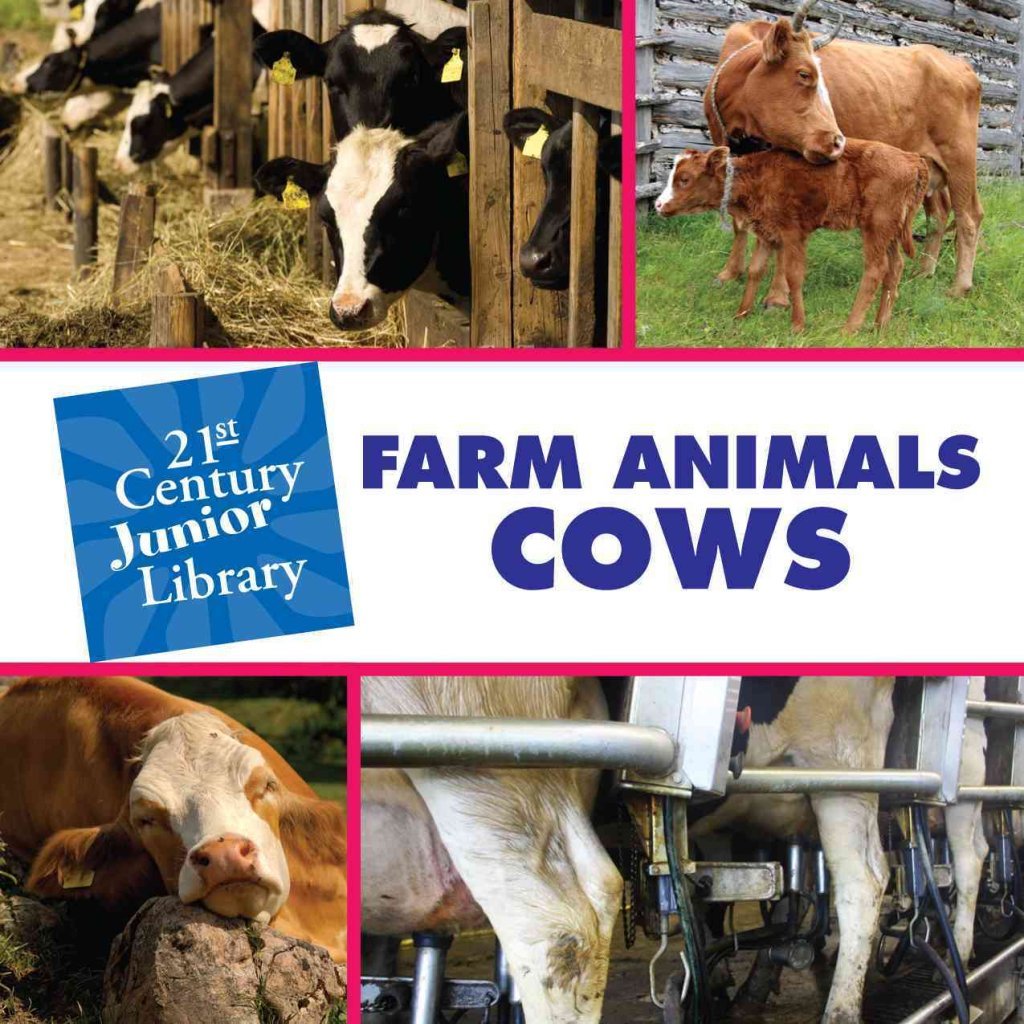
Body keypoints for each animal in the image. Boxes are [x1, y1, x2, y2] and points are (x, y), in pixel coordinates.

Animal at [654, 142, 930, 334]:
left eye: (685, 179)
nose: (658, 205)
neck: (757, 178)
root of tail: (913, 159)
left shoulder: (793, 234)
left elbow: (793, 275)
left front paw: (797, 325)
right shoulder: (766, 232)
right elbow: (755, 270)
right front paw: (741, 314)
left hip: (876, 227)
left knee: (876, 269)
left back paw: (849, 329)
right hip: (891, 231)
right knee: (895, 267)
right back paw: (880, 326)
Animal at [704, 0, 983, 300]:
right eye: (804, 73)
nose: (837, 141)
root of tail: (958, 63)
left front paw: (778, 292)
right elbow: (739, 220)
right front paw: (730, 273)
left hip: (960, 158)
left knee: (970, 217)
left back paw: (959, 286)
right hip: (927, 164)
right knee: (939, 213)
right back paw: (924, 272)